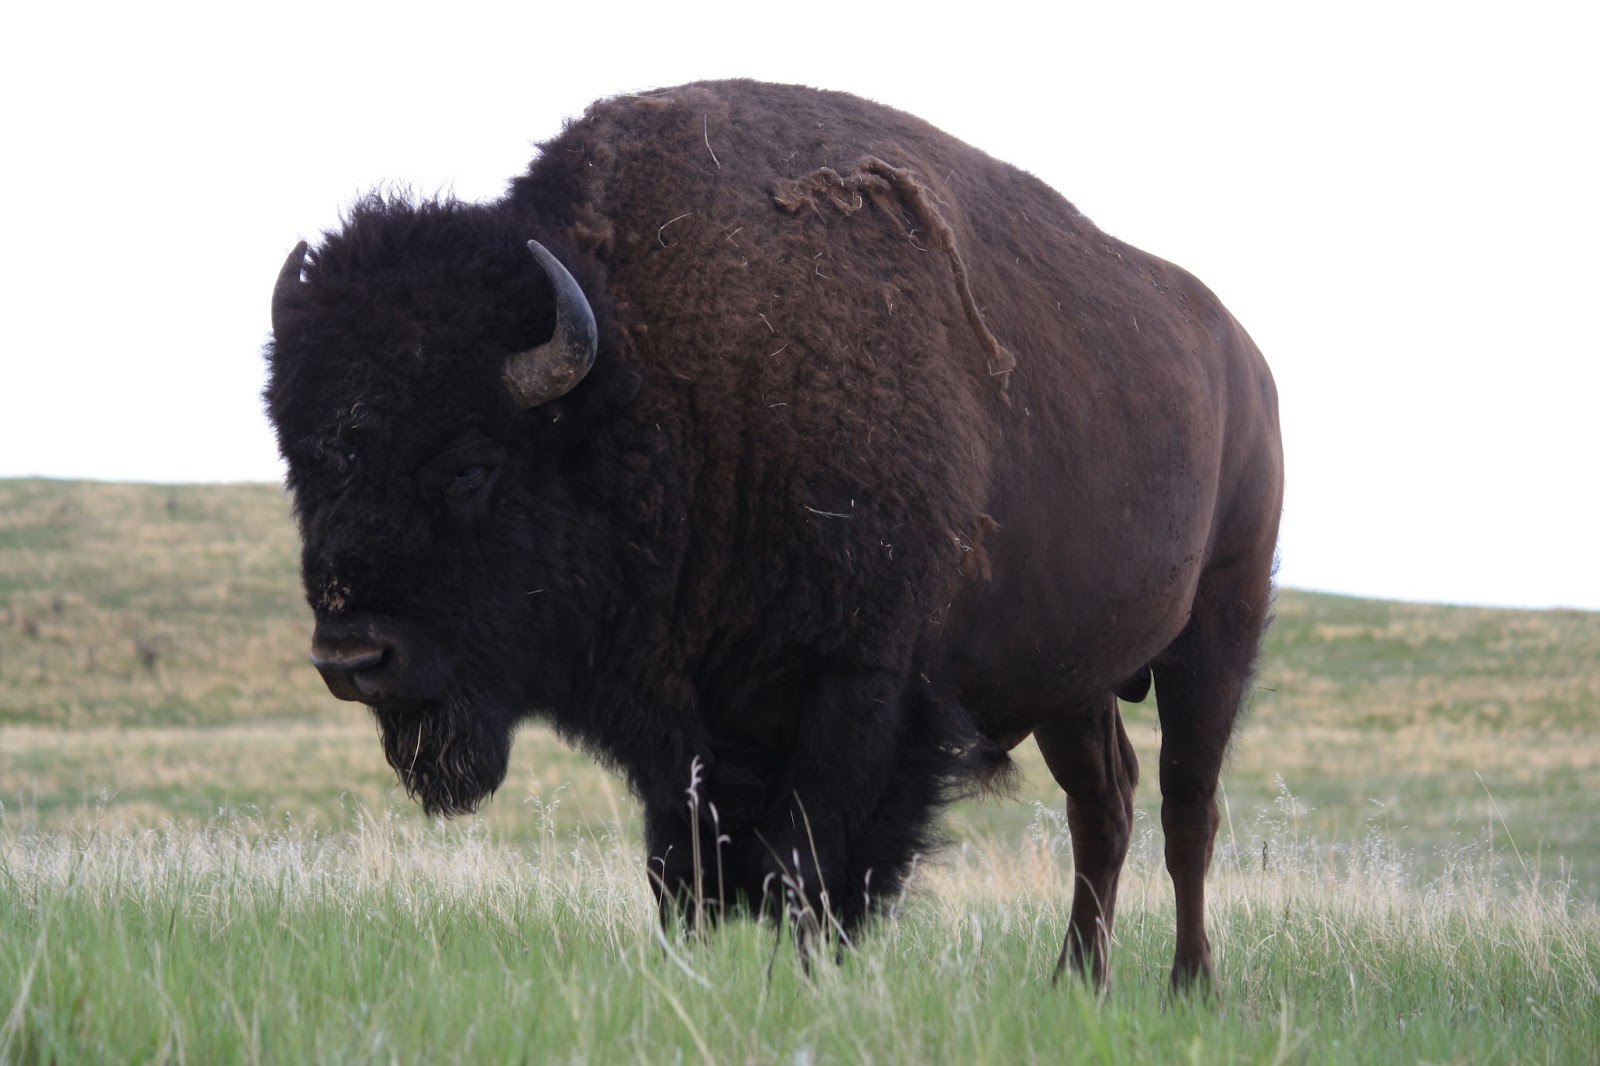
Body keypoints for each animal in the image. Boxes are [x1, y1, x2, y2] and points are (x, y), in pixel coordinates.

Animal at [266, 79, 1282, 990]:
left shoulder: (858, 694)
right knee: (1102, 805)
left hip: (1214, 632)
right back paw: (1077, 979)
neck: (656, 376)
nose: (352, 658)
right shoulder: (688, 730)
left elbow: (809, 869)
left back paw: (1190, 983)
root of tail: (1246, 361)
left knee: (1187, 808)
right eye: (302, 460)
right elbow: (686, 874)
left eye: (470, 465)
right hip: (1075, 680)